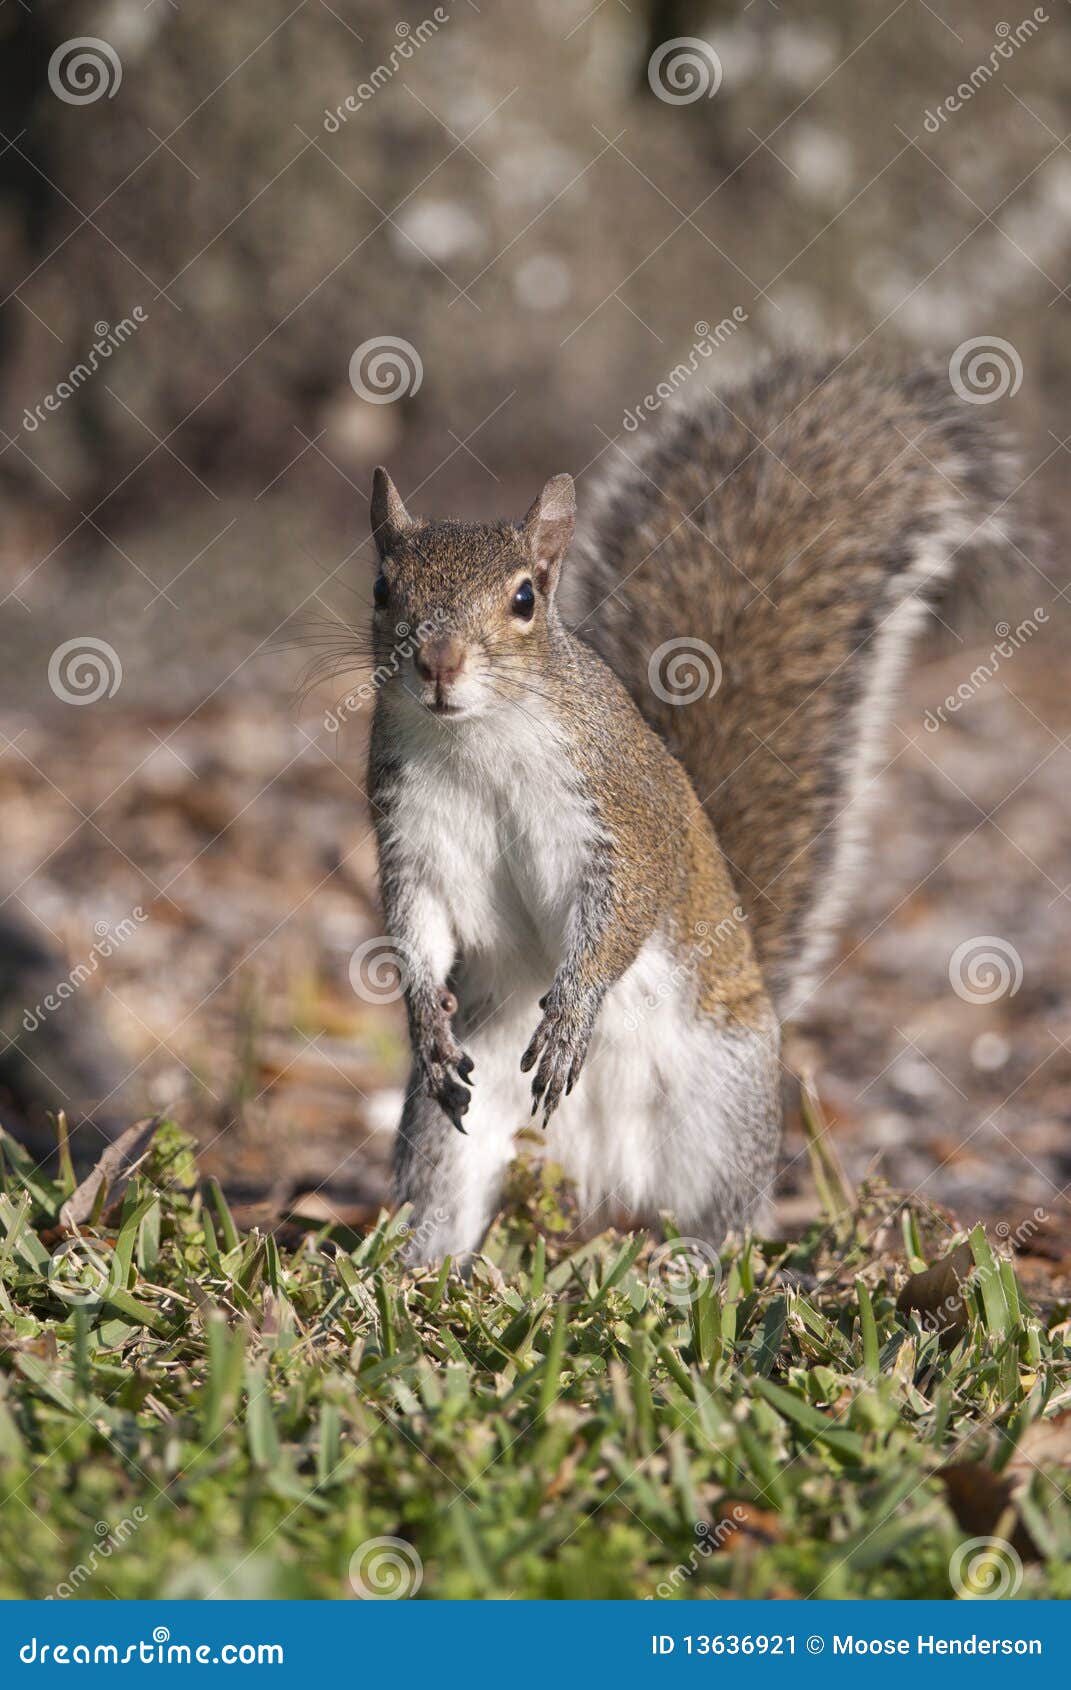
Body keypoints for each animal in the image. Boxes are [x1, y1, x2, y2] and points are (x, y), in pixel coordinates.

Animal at [365, 350, 1025, 1266]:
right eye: (382, 587)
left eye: (525, 598)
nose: (437, 663)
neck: (476, 738)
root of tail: (594, 1173)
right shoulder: (410, 829)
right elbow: (416, 920)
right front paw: (426, 1017)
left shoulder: (623, 811)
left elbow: (627, 906)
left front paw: (573, 1012)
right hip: (452, 1130)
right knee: (446, 1184)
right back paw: (422, 1266)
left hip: (723, 1101)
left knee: (726, 1217)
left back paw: (697, 1261)